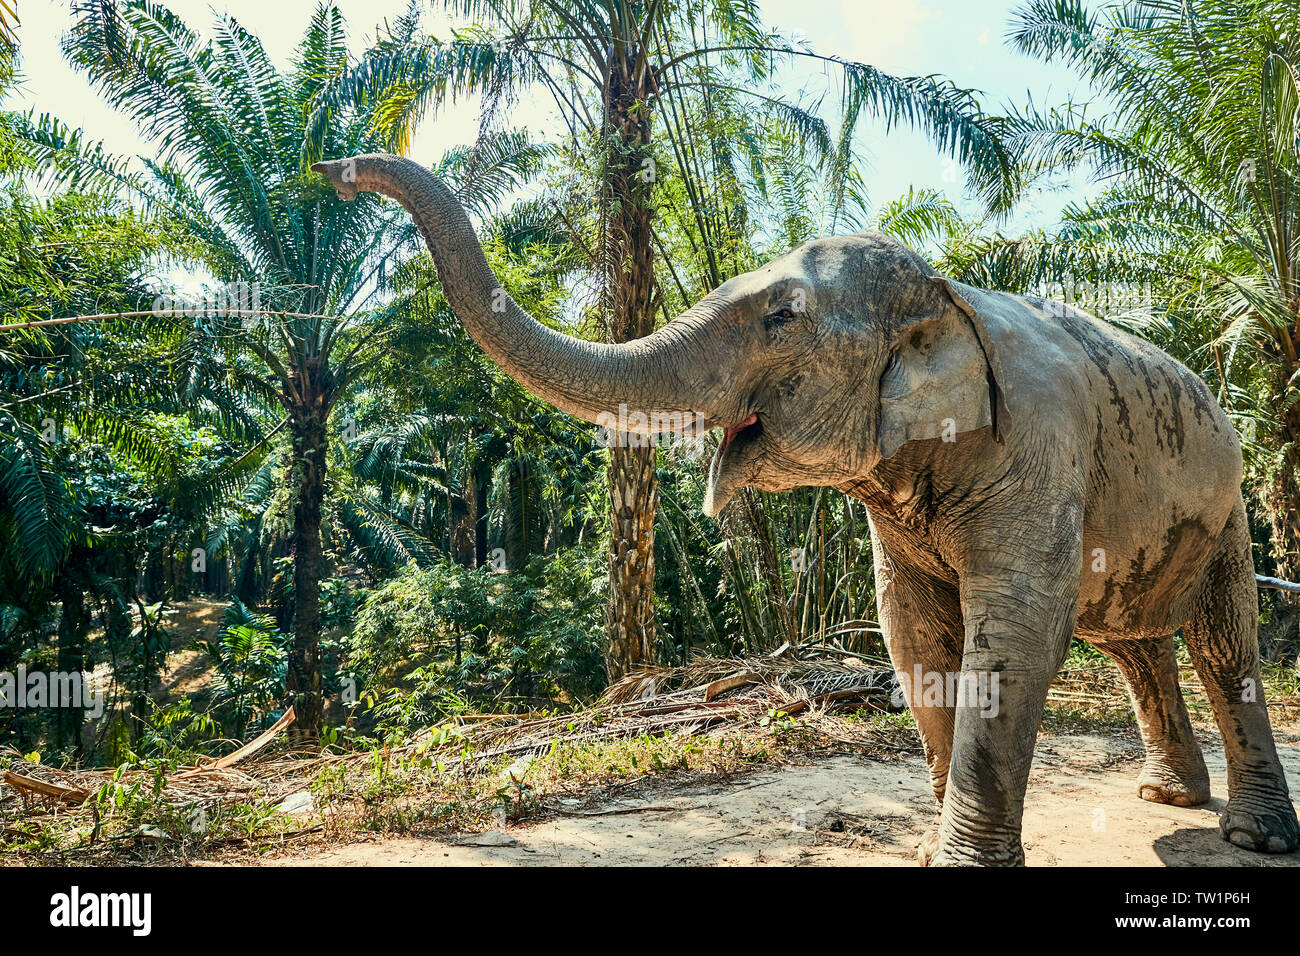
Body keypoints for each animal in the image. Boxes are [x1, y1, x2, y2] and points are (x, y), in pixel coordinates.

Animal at [313, 153, 1300, 865]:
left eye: (782, 317)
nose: (337, 170)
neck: (949, 297)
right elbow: (912, 634)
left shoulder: (1040, 451)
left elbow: (1015, 636)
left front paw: (961, 860)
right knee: (1134, 643)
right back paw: (1168, 798)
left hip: (1228, 510)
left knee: (1222, 645)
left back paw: (1250, 835)